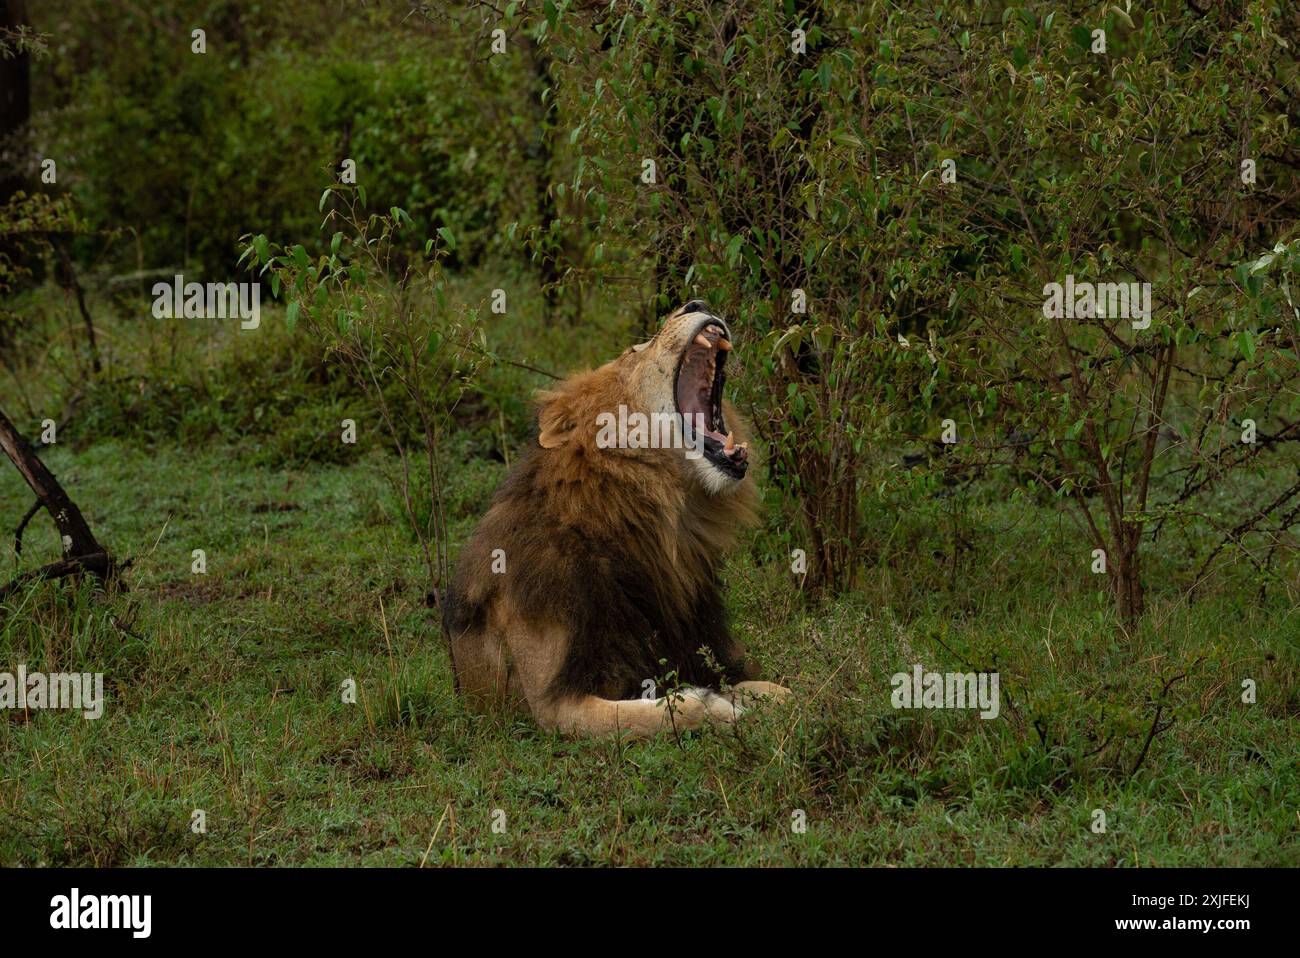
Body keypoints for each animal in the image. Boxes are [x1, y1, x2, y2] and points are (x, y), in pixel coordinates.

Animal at [443, 300, 791, 736]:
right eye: (632, 352)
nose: (696, 304)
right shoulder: (550, 706)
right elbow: (661, 714)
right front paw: (717, 707)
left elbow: (770, 687)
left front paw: (767, 696)